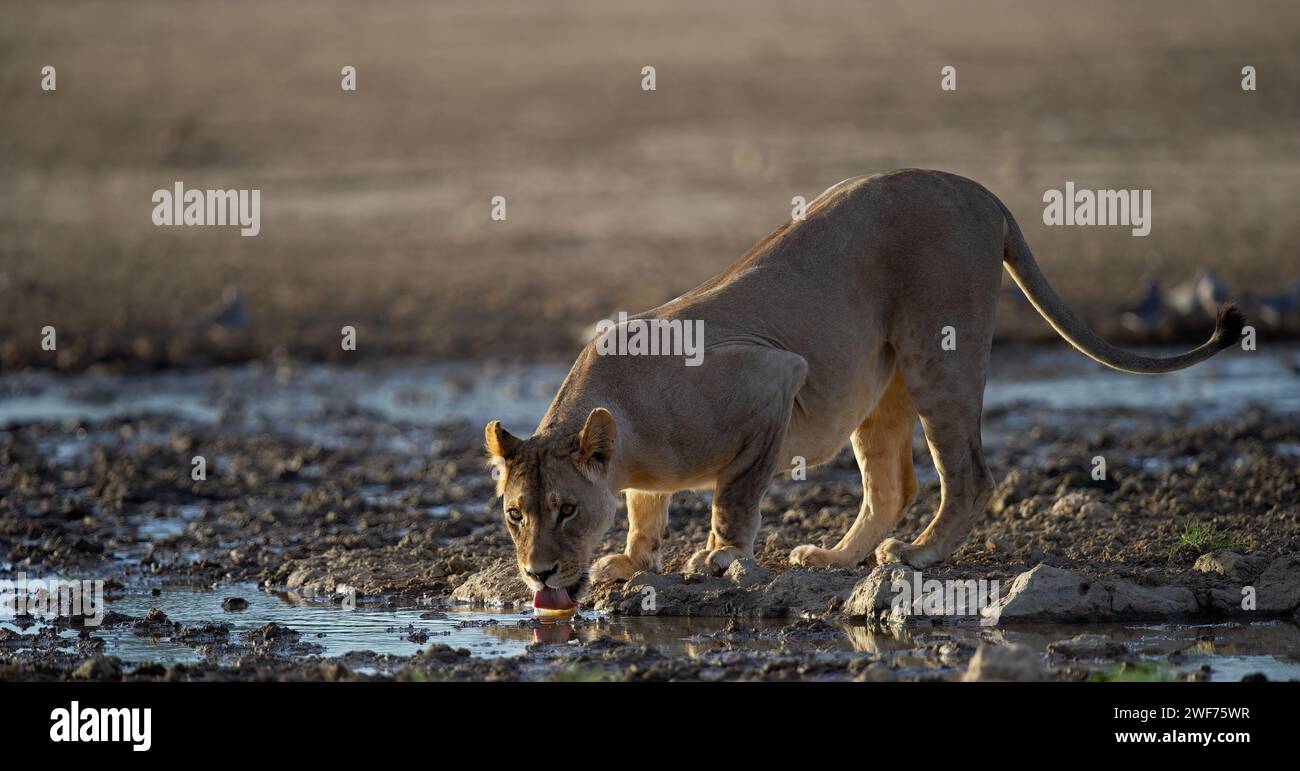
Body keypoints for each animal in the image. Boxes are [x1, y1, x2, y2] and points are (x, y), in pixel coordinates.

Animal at [485, 169, 1243, 604]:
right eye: (516, 514)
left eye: (565, 510)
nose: (538, 575)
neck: (624, 434)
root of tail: (981, 191)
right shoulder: (645, 468)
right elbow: (647, 510)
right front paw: (633, 560)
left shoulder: (773, 376)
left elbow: (735, 495)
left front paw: (722, 556)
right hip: (884, 384)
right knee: (893, 485)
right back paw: (837, 555)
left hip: (939, 348)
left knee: (968, 474)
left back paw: (918, 552)